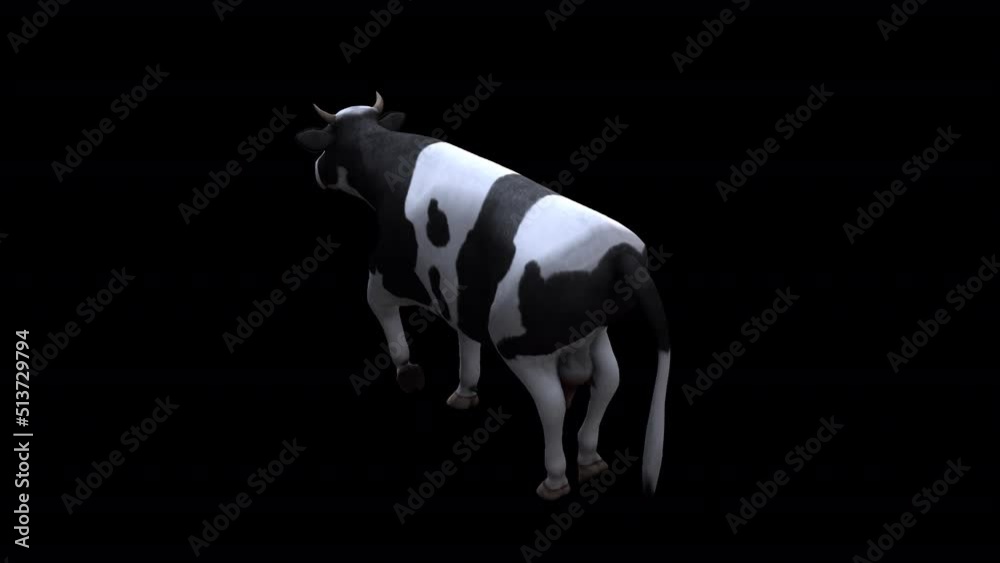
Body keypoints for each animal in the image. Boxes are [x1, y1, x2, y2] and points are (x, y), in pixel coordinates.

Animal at [296, 93, 671, 500]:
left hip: (522, 348)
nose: (315, 168)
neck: (386, 155)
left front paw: (407, 371)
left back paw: (554, 480)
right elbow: (467, 342)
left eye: (327, 141)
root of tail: (622, 252)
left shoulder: (385, 270)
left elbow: (383, 315)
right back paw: (590, 460)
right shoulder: (461, 296)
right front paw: (465, 390)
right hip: (593, 334)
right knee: (608, 381)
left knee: (553, 405)